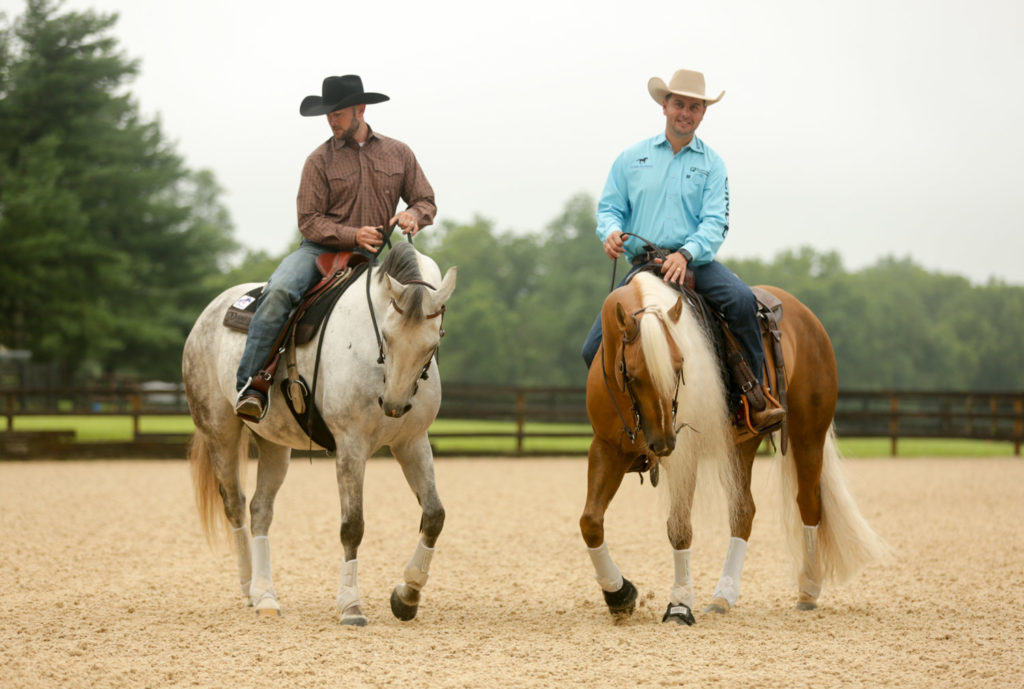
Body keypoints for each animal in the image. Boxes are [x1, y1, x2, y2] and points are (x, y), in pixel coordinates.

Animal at [183, 242, 456, 626]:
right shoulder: (351, 445)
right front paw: (351, 605)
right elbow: (352, 525)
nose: (393, 404)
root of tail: (213, 308)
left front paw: (407, 595)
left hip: (273, 443)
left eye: (432, 344)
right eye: (386, 336)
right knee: (235, 506)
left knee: (260, 509)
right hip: (219, 431)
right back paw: (249, 587)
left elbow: (433, 516)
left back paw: (266, 594)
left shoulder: (411, 442)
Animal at [580, 270, 889, 624]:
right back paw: (723, 596)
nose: (662, 441)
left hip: (808, 435)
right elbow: (590, 522)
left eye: (680, 366)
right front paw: (619, 595)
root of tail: (806, 316)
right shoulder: (607, 449)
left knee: (809, 503)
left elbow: (679, 527)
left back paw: (808, 589)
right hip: (743, 444)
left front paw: (680, 603)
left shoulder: (685, 454)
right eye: (630, 374)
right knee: (743, 511)